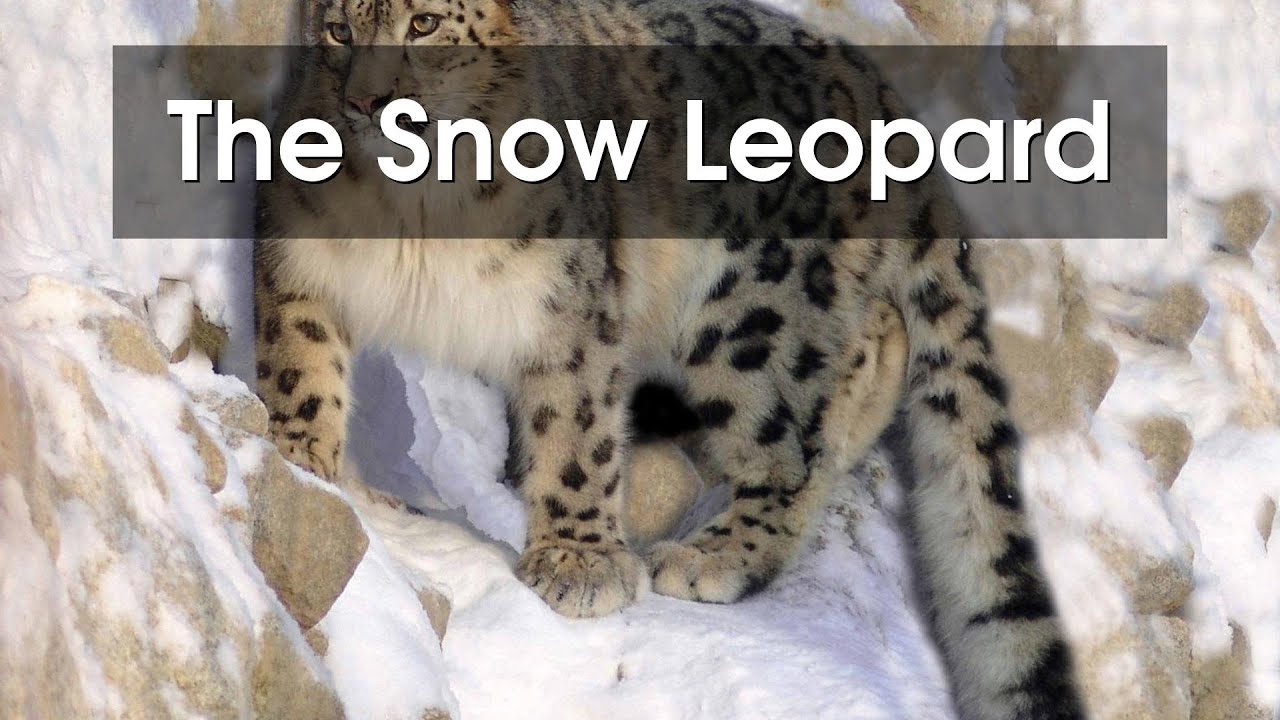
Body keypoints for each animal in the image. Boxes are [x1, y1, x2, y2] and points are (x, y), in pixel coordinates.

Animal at [251, 1, 1085, 718]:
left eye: (424, 24)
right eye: (337, 30)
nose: (366, 103)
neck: (413, 212)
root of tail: (879, 90)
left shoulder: (570, 305)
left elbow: (576, 431)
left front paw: (579, 563)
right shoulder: (300, 257)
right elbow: (300, 367)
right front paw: (304, 461)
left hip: (755, 318)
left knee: (793, 434)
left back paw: (715, 555)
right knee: (877, 341)